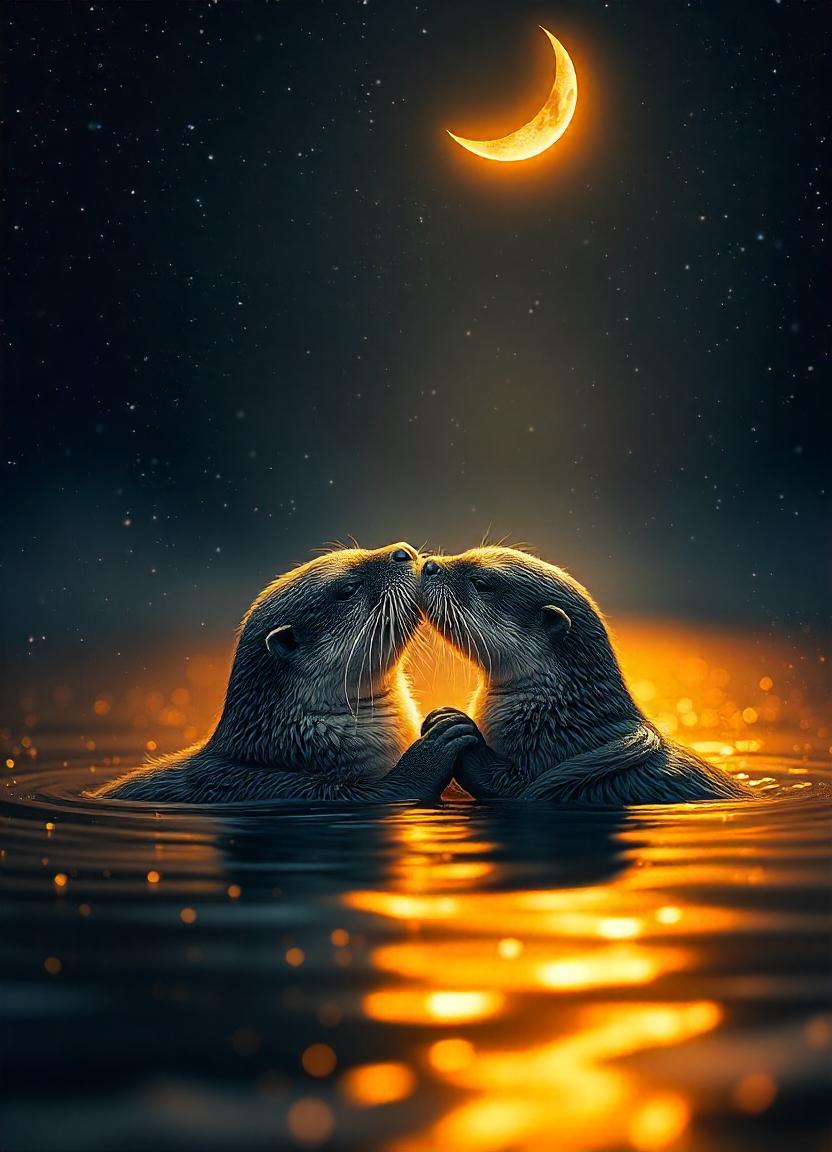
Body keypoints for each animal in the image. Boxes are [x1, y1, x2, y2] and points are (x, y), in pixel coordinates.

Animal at [93, 543, 480, 803]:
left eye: (358, 550)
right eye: (348, 589)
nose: (403, 552)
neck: (295, 749)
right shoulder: (280, 788)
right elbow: (388, 793)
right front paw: (436, 744)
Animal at [419, 546, 751, 804]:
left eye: (480, 582)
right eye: (466, 553)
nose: (430, 565)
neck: (558, 713)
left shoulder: (547, 749)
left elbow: (502, 784)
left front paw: (454, 726)